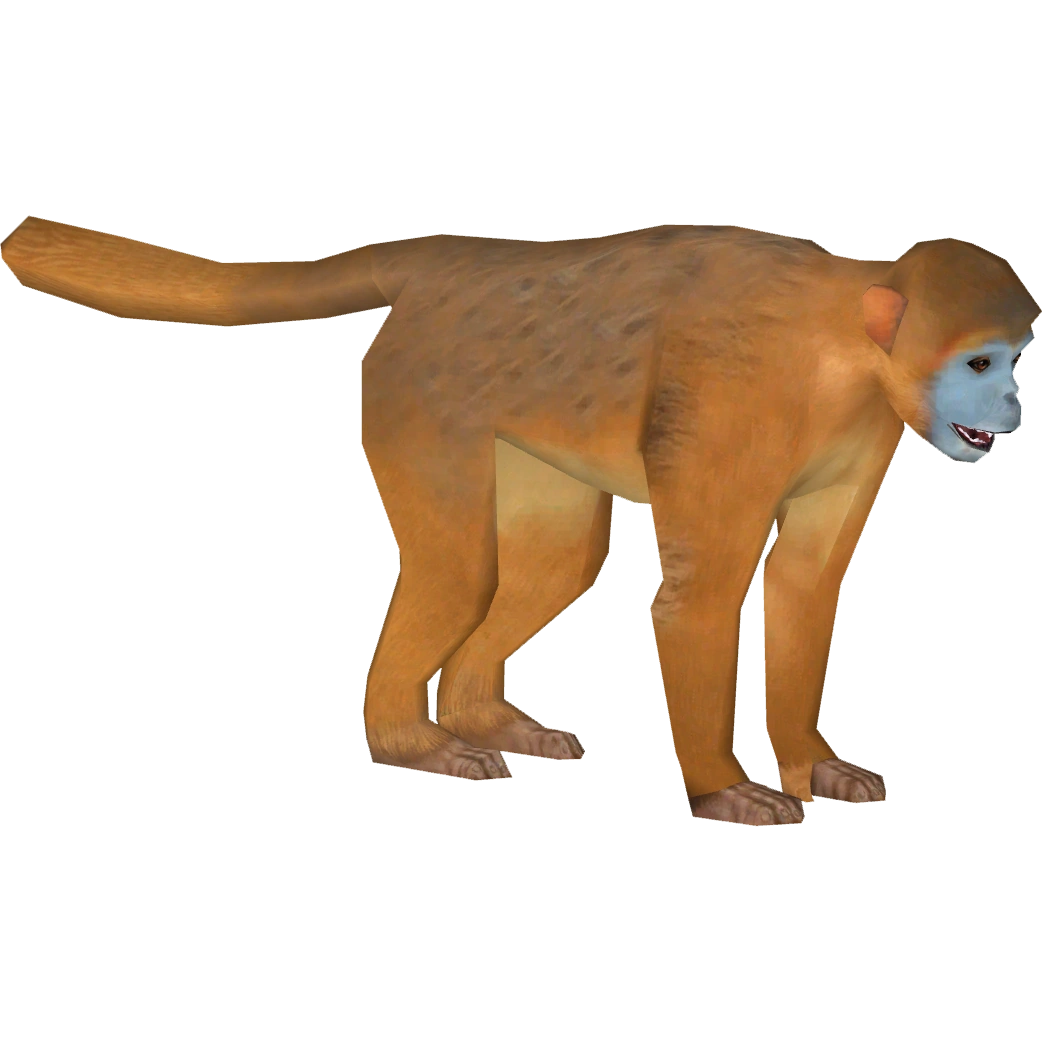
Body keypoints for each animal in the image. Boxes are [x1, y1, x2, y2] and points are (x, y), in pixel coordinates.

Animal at [2, 216, 1037, 827]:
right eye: (983, 361)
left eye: (1018, 356)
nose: (1017, 405)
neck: (845, 346)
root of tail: (464, 254)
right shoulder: (741, 397)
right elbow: (700, 597)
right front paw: (721, 786)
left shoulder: (869, 423)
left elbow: (803, 588)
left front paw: (815, 765)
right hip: (422, 387)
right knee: (460, 572)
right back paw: (412, 742)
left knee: (556, 563)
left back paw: (480, 712)